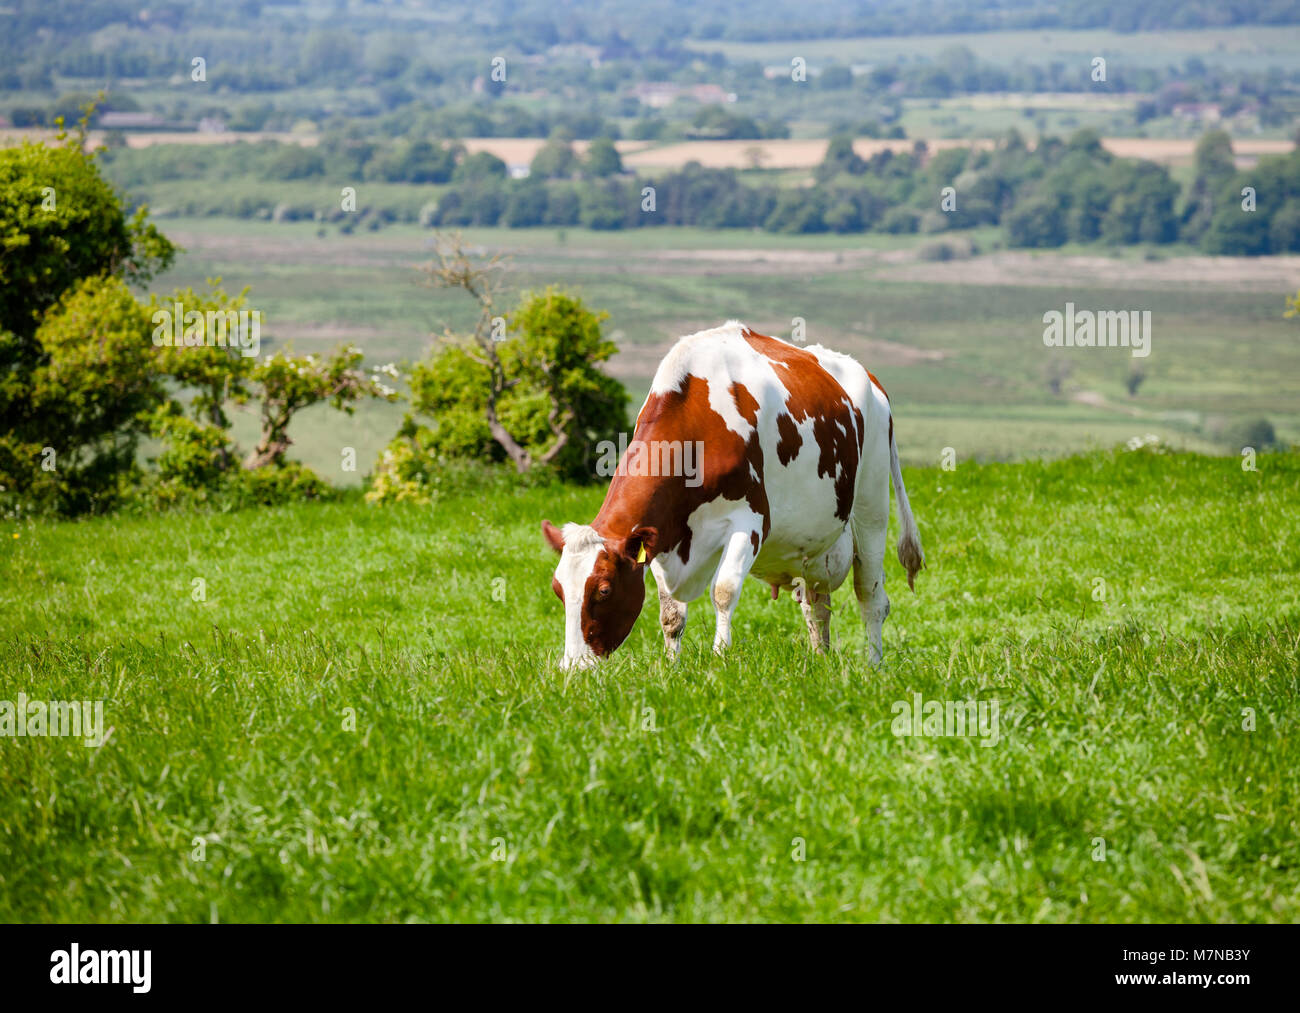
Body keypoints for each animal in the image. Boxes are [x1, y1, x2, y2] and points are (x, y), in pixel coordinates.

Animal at [542, 321, 923, 670]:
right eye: (558, 590)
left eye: (604, 590)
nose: (572, 667)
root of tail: (870, 378)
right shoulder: (661, 536)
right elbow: (671, 613)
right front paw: (671, 667)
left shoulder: (749, 520)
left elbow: (723, 591)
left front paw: (720, 659)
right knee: (817, 605)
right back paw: (820, 660)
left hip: (871, 504)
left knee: (871, 595)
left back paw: (874, 665)